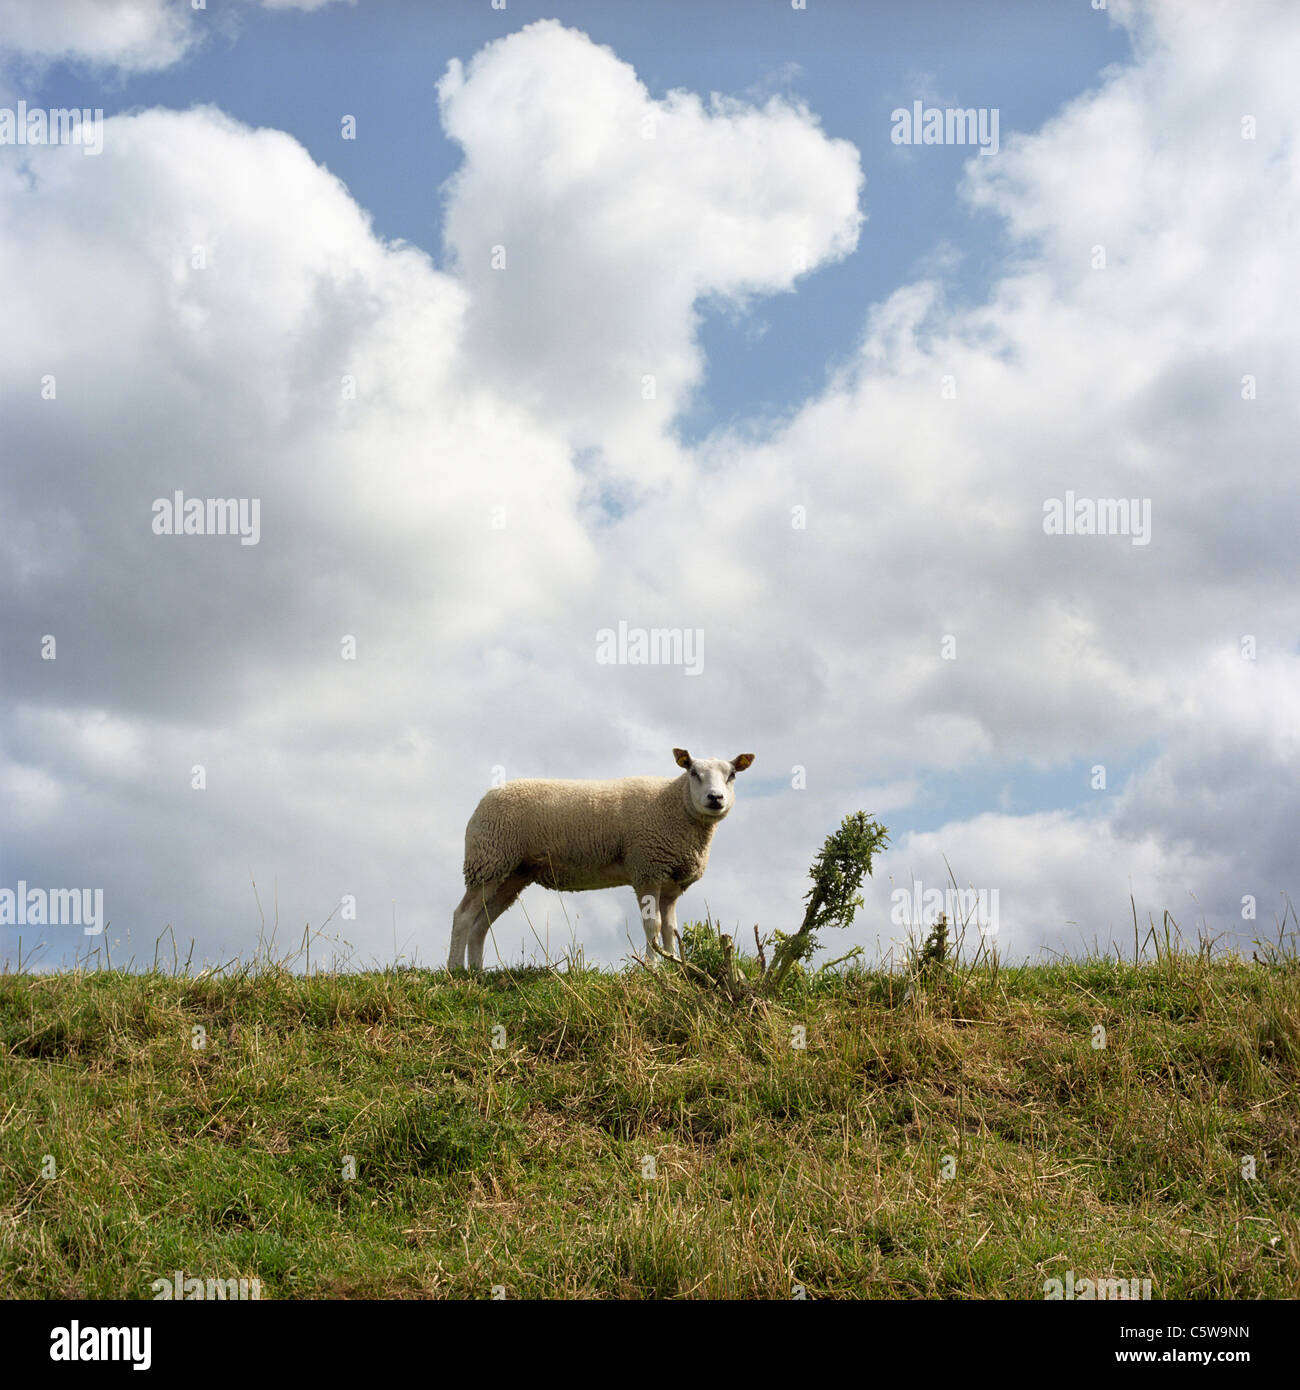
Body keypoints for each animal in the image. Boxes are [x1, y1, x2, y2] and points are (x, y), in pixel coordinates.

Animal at [447, 748, 755, 971]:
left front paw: (675, 968)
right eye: (693, 772)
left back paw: (477, 972)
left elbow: (670, 929)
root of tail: (486, 798)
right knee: (463, 915)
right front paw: (652, 968)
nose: (715, 798)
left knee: (481, 923)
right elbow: (652, 925)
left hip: (511, 873)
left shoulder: (671, 883)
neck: (675, 806)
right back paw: (456, 970)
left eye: (732, 775)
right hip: (489, 860)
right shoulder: (647, 869)